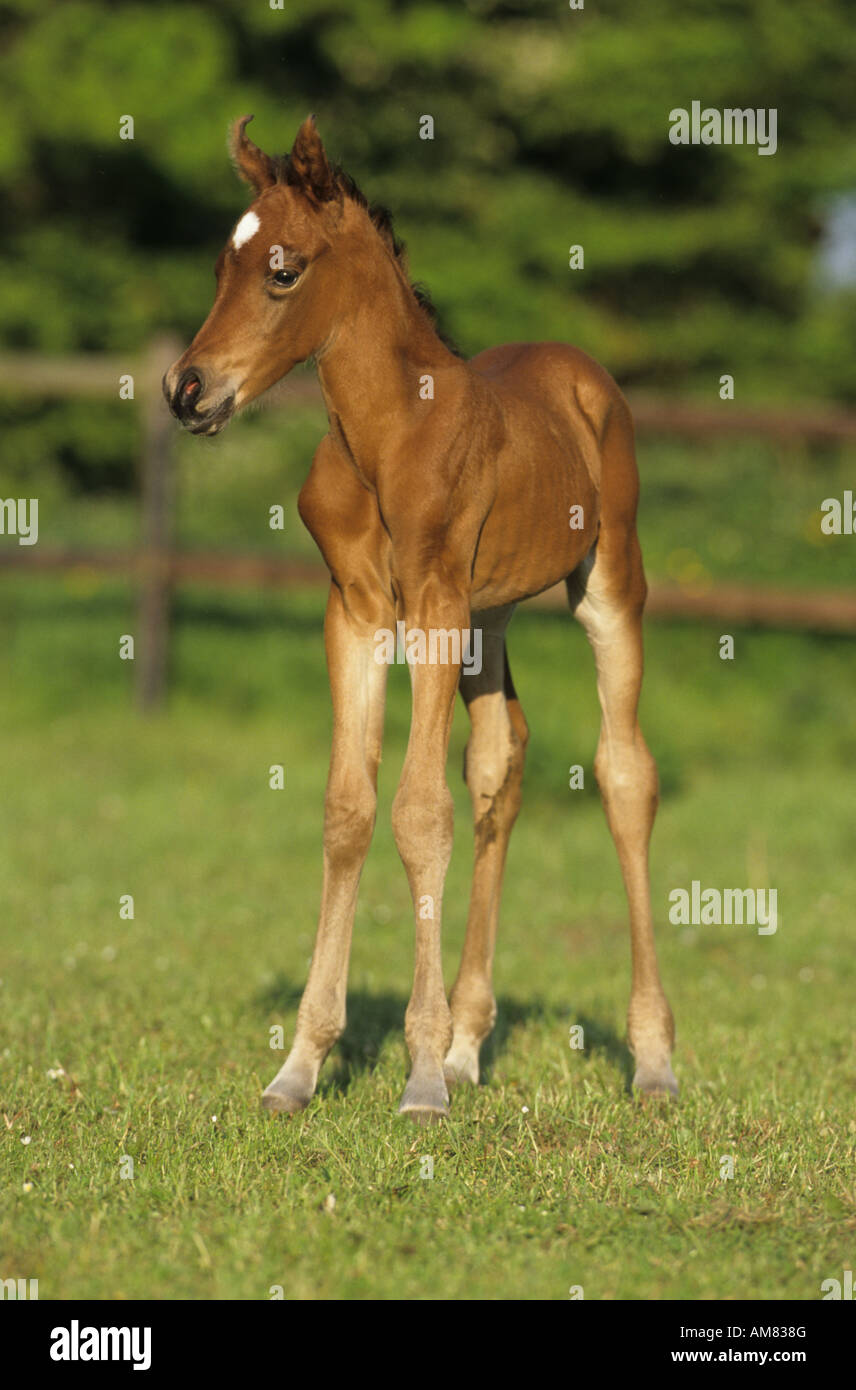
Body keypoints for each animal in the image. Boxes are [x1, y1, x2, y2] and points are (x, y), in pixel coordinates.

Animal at [163, 115, 677, 1121]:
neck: (386, 435)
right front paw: (302, 1067)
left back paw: (651, 1059)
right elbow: (350, 808)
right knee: (500, 764)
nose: (187, 392)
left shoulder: (432, 603)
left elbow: (418, 811)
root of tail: (581, 371)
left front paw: (424, 1078)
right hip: (492, 616)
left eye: (283, 270)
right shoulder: (356, 613)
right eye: (220, 266)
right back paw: (475, 1041)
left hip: (608, 585)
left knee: (624, 774)